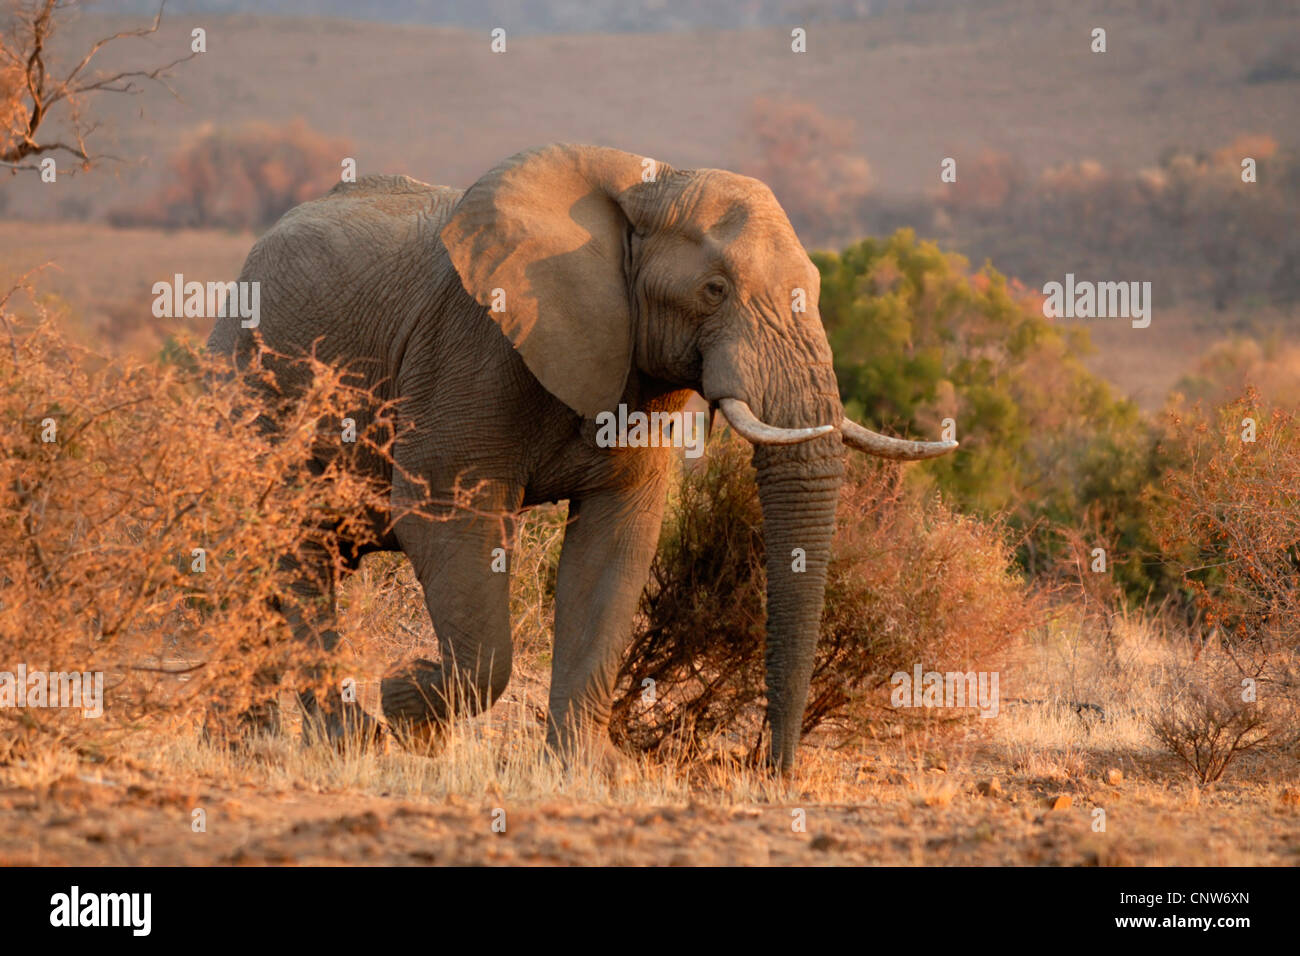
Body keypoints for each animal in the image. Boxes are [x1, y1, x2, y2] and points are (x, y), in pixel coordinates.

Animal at [206, 143, 956, 773]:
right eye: (713, 289)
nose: (769, 771)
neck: (645, 187)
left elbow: (614, 547)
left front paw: (587, 771)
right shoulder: (467, 352)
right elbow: (445, 526)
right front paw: (401, 711)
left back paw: (245, 745)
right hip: (251, 390)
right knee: (292, 555)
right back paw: (344, 740)